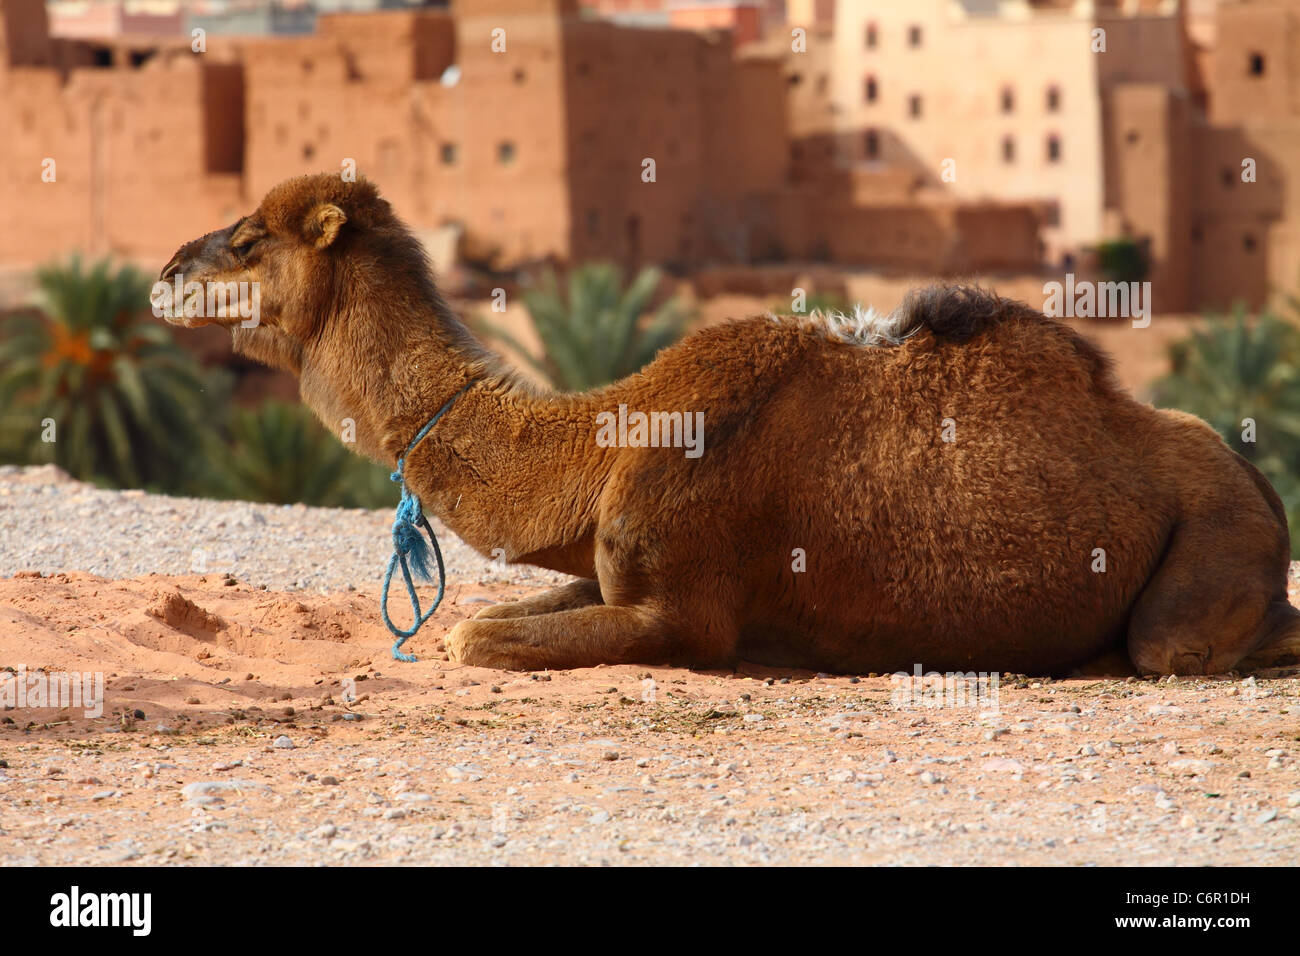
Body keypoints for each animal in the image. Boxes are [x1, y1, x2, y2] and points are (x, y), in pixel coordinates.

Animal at [157, 173, 1300, 676]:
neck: (600, 443)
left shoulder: (681, 611)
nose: (167, 272)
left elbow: (478, 634)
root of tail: (1257, 482)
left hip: (1206, 557)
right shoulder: (610, 565)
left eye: (249, 239)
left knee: (1173, 643)